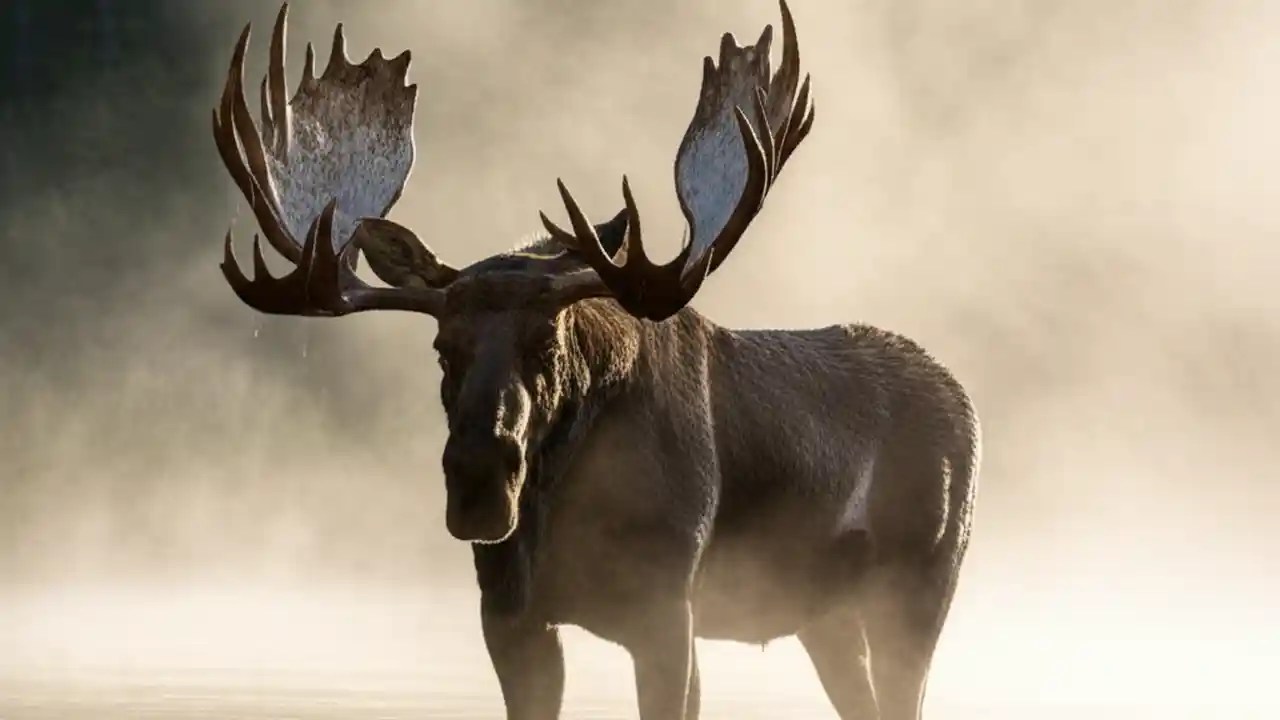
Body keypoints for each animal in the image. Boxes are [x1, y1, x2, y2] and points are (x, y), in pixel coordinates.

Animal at [211, 3, 981, 718]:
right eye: (440, 348)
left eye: (546, 343)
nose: (479, 482)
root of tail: (965, 399)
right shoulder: (509, 614)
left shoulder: (668, 608)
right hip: (826, 616)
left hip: (919, 585)